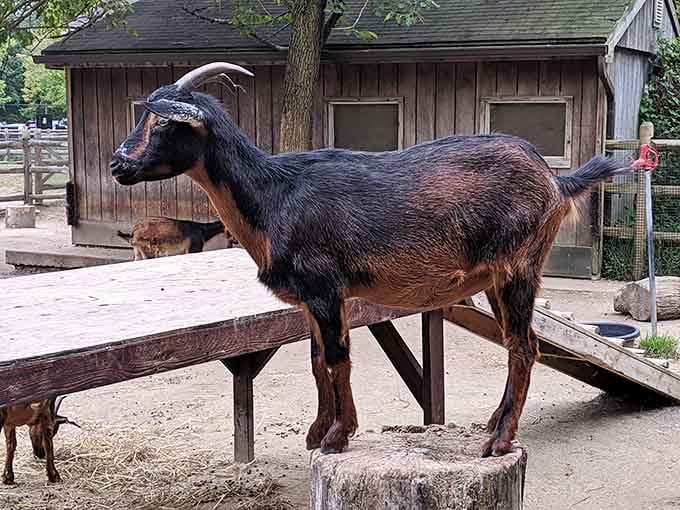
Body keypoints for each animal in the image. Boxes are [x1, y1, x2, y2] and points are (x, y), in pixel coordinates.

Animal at [110, 62, 631, 457]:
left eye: (164, 123)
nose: (118, 164)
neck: (275, 195)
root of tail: (556, 181)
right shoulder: (310, 299)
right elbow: (317, 361)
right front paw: (318, 432)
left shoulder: (326, 288)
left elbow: (338, 359)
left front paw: (339, 436)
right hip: (495, 280)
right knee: (520, 344)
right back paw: (493, 423)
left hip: (519, 267)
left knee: (523, 347)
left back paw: (499, 442)